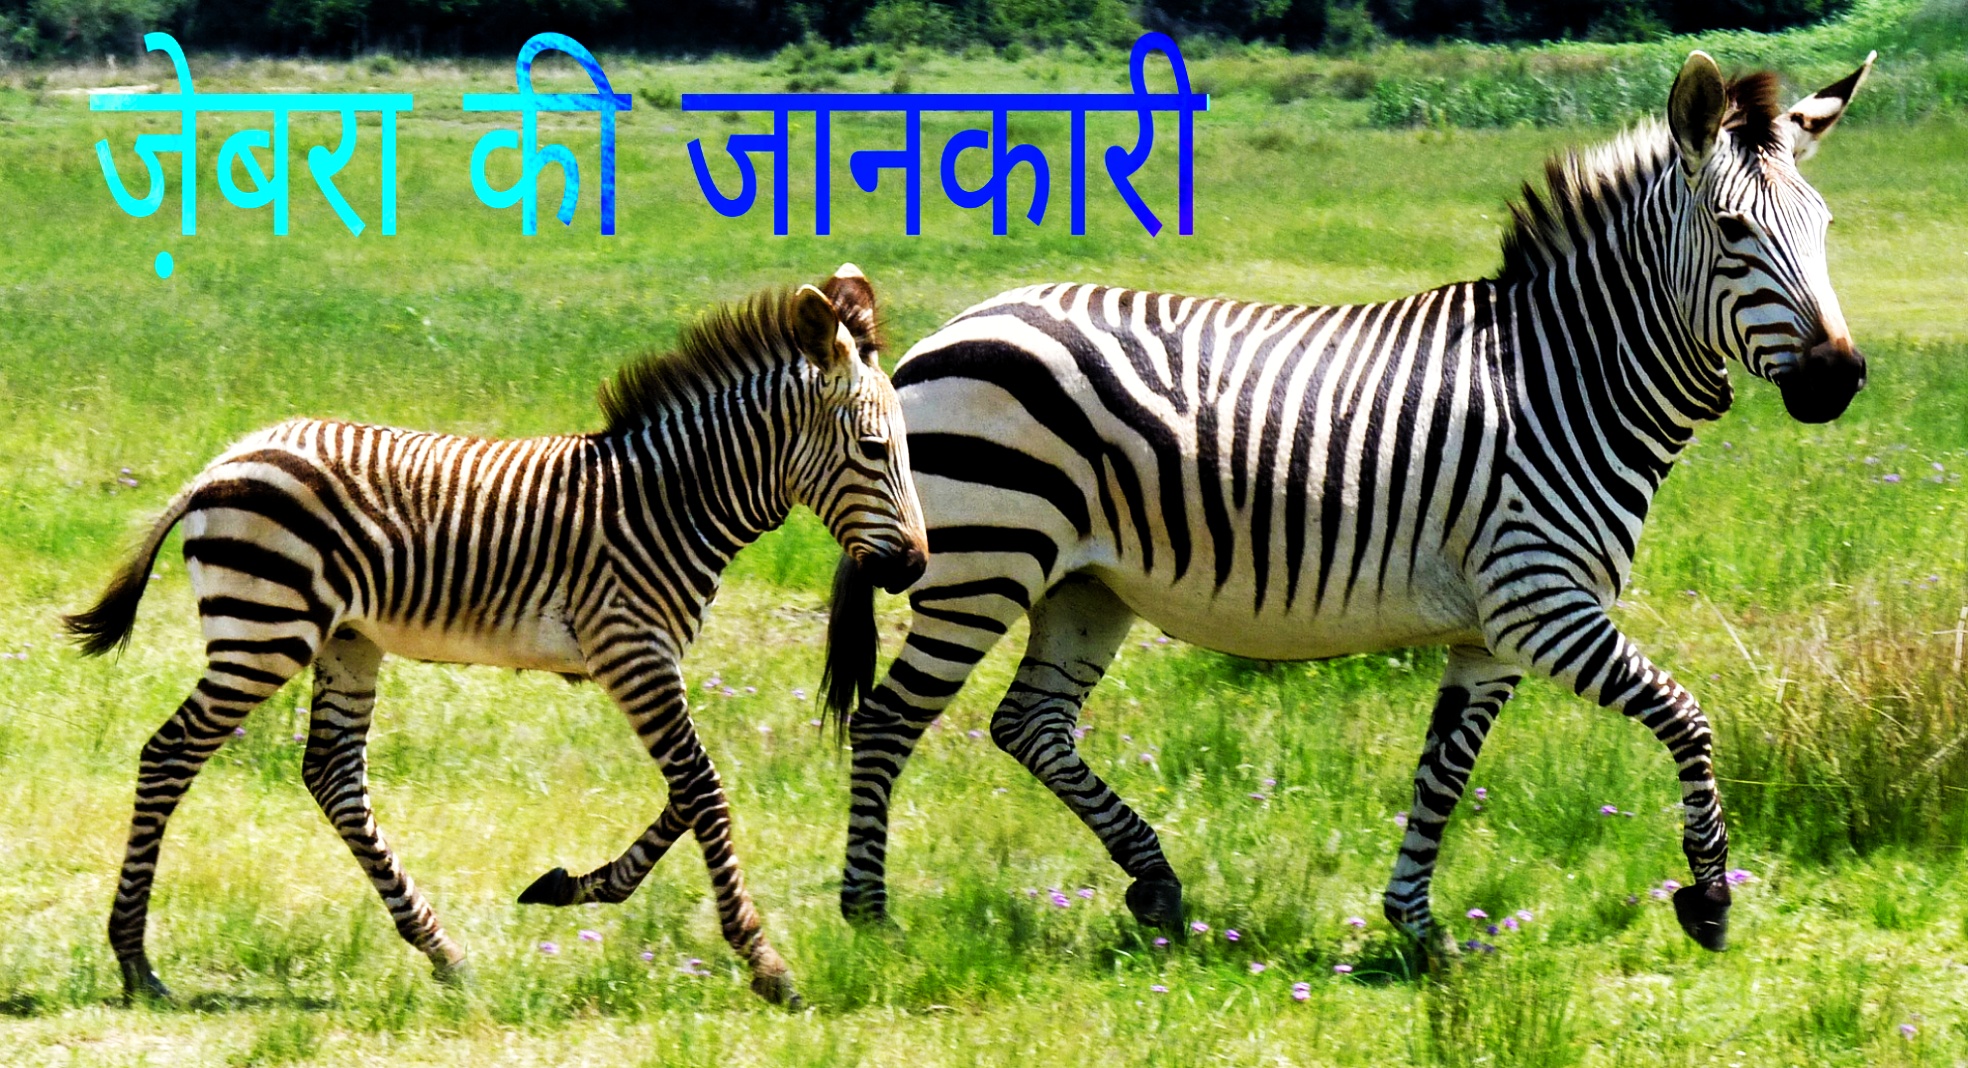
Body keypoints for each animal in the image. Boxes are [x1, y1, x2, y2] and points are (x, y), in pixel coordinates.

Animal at [64, 265, 926, 1007]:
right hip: (264, 632)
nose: (916, 565)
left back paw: (441, 951)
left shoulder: (642, 657)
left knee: (332, 776)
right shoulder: (632, 649)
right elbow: (704, 790)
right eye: (875, 449)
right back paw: (135, 960)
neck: (671, 500)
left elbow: (685, 794)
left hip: (345, 640)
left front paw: (569, 886)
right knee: (169, 754)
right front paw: (765, 963)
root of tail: (219, 464)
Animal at [810, 52, 1875, 956]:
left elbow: (1442, 772)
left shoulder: (1490, 633)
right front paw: (1711, 898)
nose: (1840, 379)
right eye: (1734, 233)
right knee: (890, 722)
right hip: (983, 564)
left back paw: (1155, 883)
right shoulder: (1541, 604)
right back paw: (867, 912)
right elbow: (1687, 717)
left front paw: (1415, 923)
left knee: (1029, 726)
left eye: (1825, 228)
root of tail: (930, 339)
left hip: (1084, 587)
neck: (1563, 377)